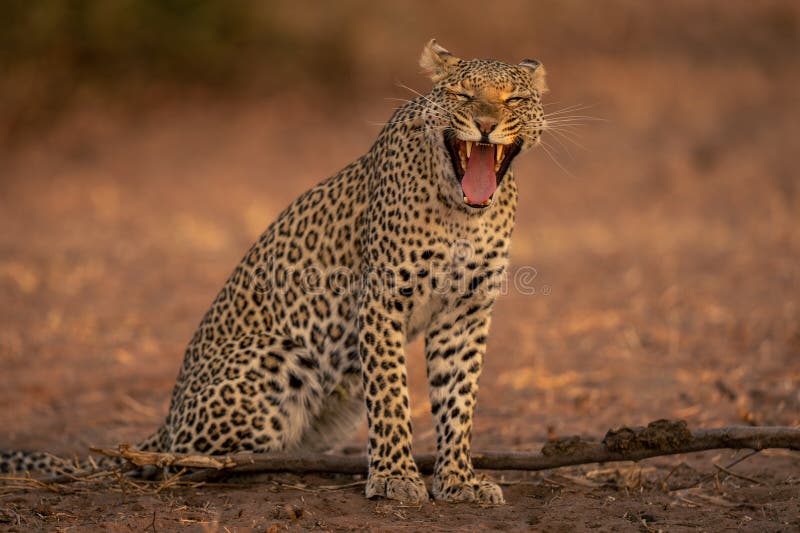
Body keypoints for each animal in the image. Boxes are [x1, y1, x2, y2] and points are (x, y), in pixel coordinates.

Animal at [1, 40, 548, 504]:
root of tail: (168, 417)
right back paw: (248, 468)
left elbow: (458, 400)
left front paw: (458, 481)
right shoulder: (381, 300)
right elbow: (392, 395)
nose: (484, 124)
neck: (463, 212)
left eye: (515, 98)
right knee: (175, 460)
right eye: (463, 94)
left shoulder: (466, 312)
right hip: (278, 360)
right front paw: (395, 478)